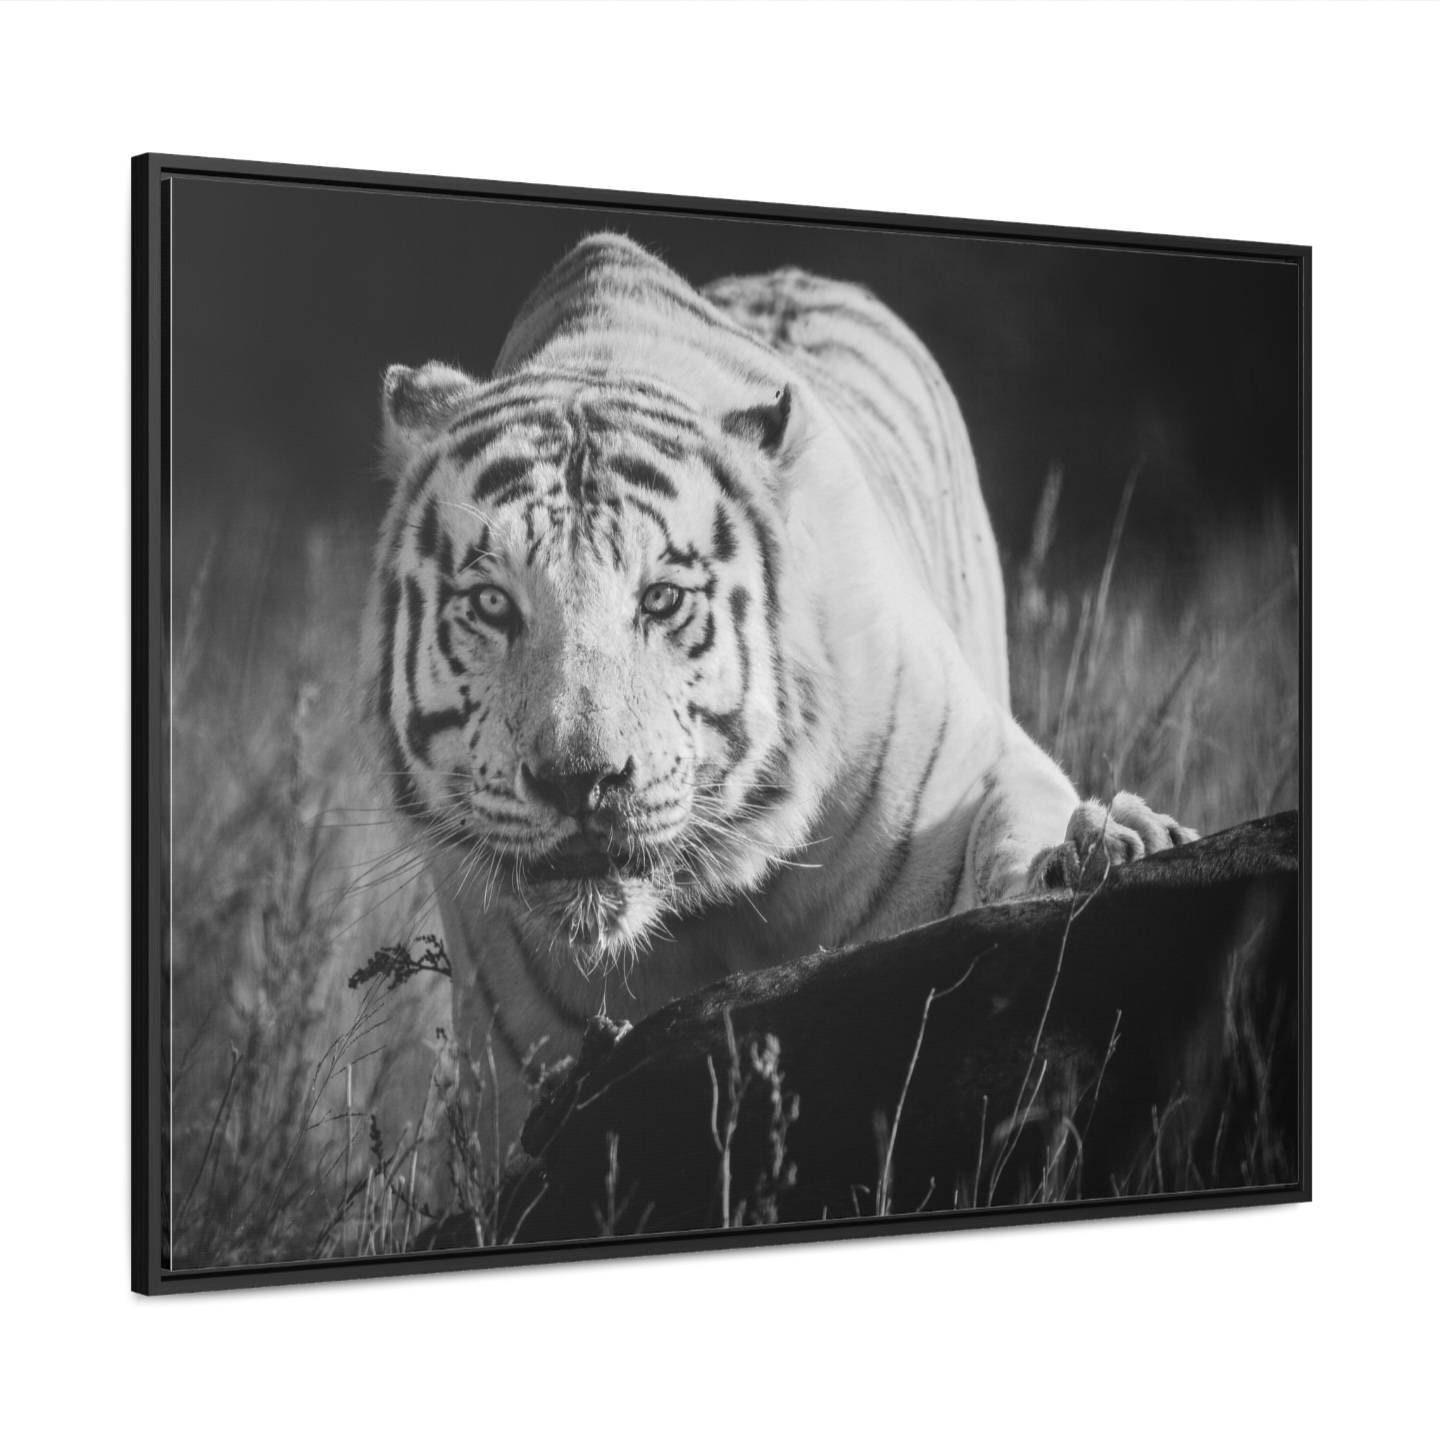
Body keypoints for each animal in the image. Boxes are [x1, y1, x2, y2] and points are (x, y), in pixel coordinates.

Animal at [363, 231, 1196, 1171]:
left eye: (661, 599)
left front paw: (1106, 845)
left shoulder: (971, 770)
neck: (704, 912)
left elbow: (1014, 845)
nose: (581, 780)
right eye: (493, 604)